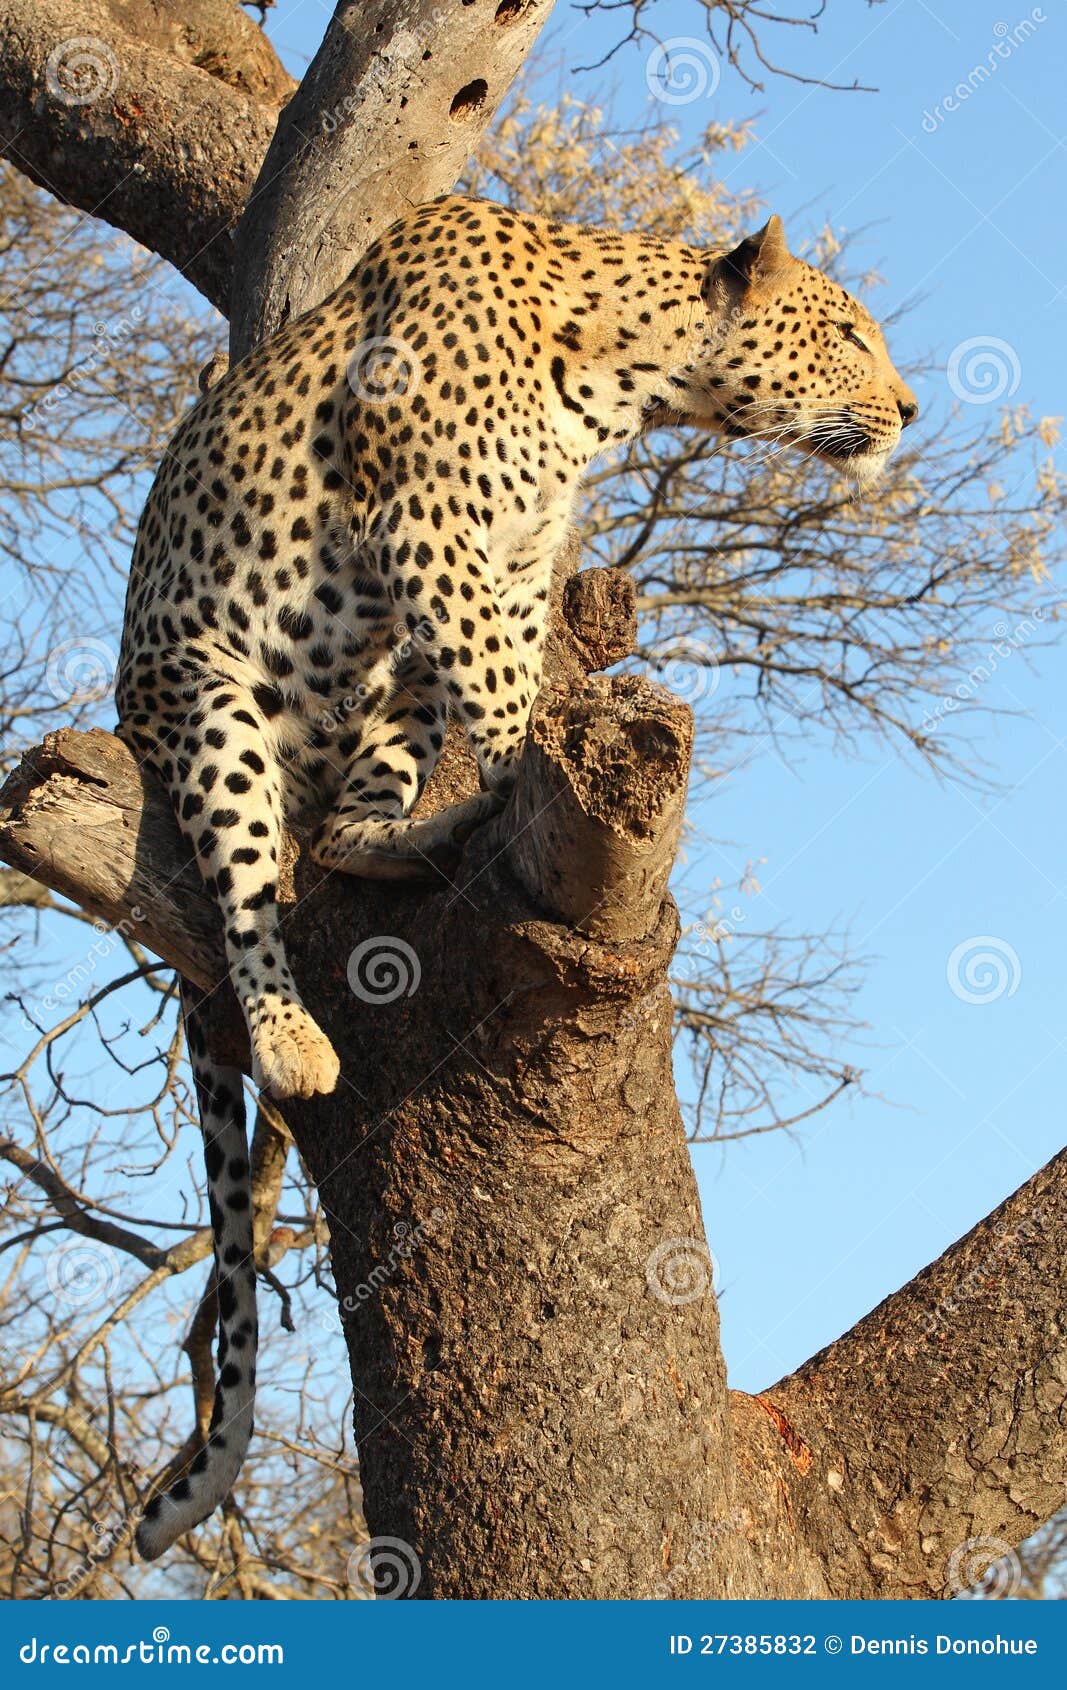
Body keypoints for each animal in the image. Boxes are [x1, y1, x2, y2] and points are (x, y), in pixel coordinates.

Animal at [116, 195, 917, 1558]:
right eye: (849, 334)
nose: (910, 408)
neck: (624, 379)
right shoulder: (425, 526)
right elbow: (498, 678)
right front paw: (532, 744)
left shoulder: (515, 556)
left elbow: (517, 657)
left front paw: (532, 756)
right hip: (208, 708)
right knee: (250, 879)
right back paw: (292, 1035)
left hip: (381, 680)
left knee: (336, 831)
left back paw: (425, 833)